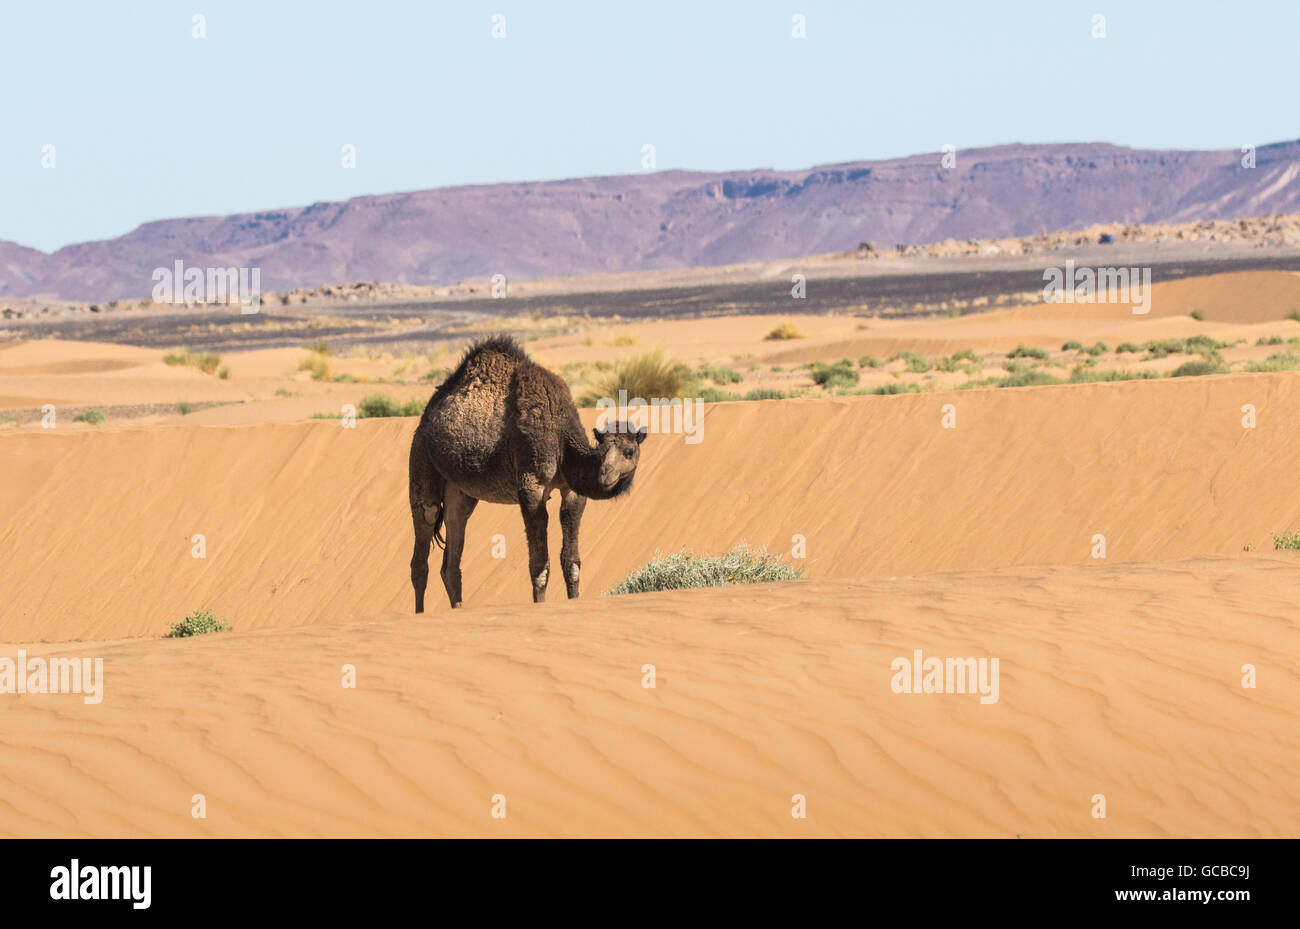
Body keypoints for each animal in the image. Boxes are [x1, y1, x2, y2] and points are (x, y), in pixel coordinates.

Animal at [408, 336, 646, 611]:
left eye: (629, 451)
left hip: (460, 490)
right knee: (422, 548)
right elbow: (539, 565)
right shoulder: (532, 485)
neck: (561, 439)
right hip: (421, 460)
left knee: (451, 555)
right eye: (603, 449)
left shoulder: (571, 489)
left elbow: (571, 563)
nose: (606, 476)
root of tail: (426, 417)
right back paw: (420, 613)